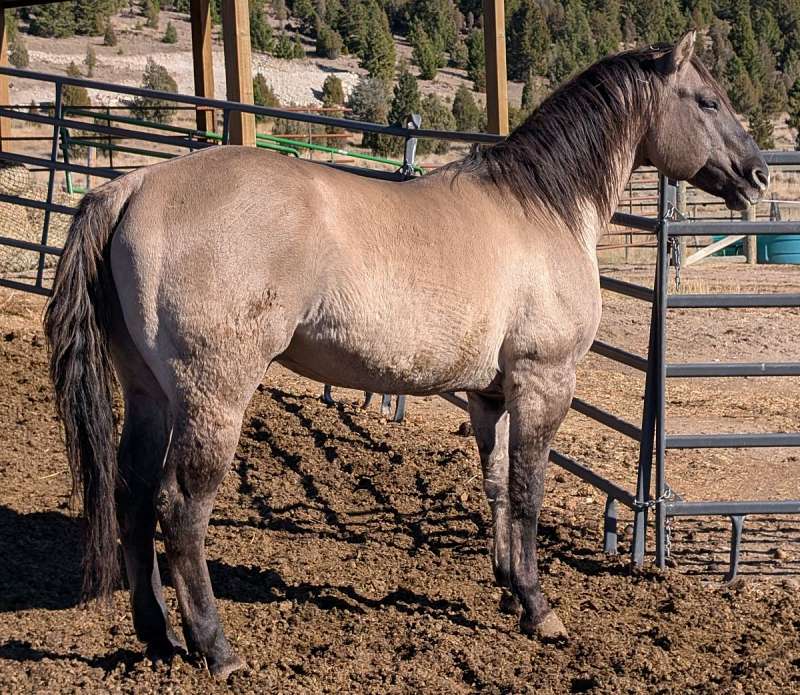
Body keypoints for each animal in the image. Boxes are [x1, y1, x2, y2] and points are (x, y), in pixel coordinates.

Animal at [45, 32, 768, 677]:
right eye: (708, 100)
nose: (758, 175)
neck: (543, 206)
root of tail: (132, 188)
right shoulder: (544, 381)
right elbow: (529, 491)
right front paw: (540, 609)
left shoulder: (489, 394)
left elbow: (497, 486)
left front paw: (508, 587)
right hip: (212, 396)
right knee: (180, 511)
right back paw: (216, 650)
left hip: (148, 392)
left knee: (134, 496)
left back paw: (158, 637)